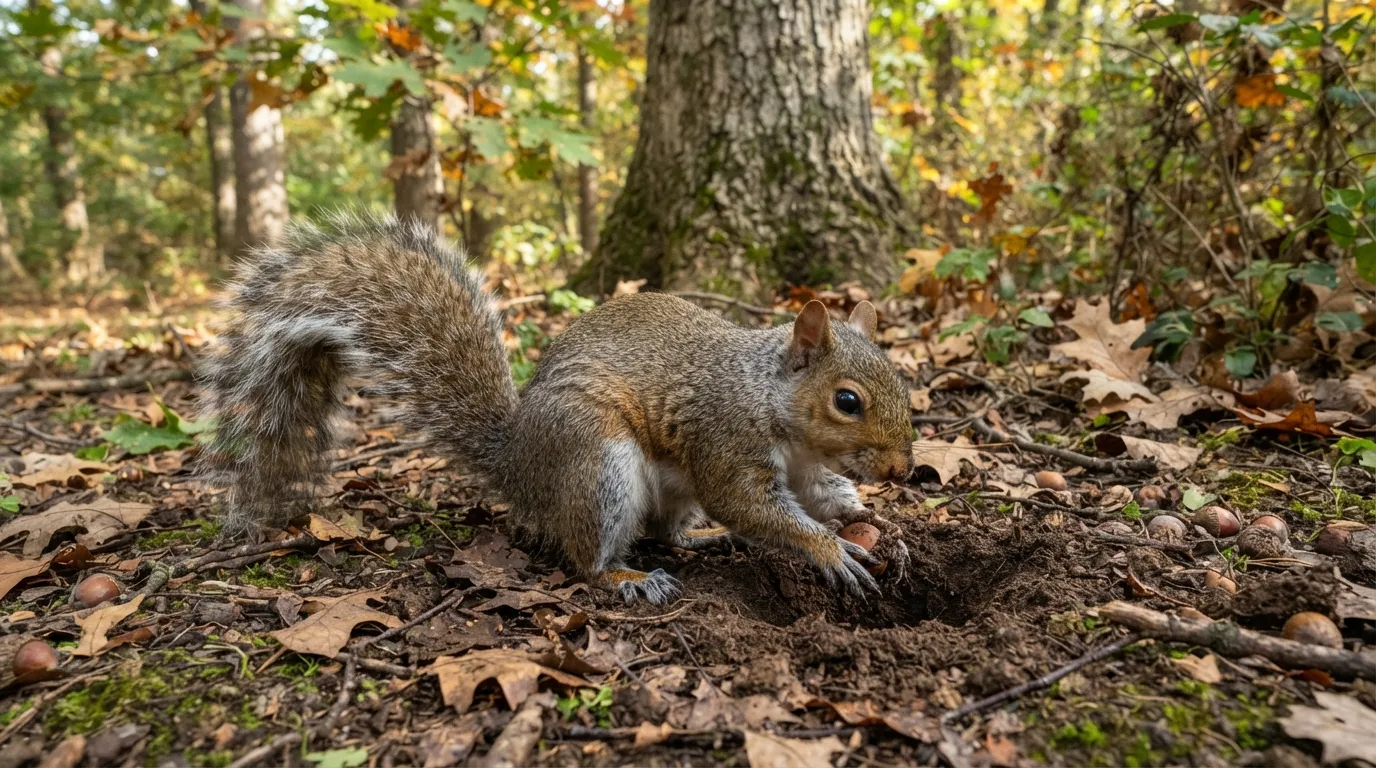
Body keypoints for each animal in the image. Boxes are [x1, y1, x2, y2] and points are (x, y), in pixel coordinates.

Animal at [199, 214, 915, 604]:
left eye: (906, 385)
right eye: (847, 401)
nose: (905, 470)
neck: (774, 404)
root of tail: (518, 464)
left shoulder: (806, 468)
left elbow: (822, 494)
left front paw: (867, 516)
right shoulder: (726, 438)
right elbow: (751, 504)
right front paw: (828, 549)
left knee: (667, 531)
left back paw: (702, 539)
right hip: (598, 459)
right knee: (586, 557)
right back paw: (627, 577)